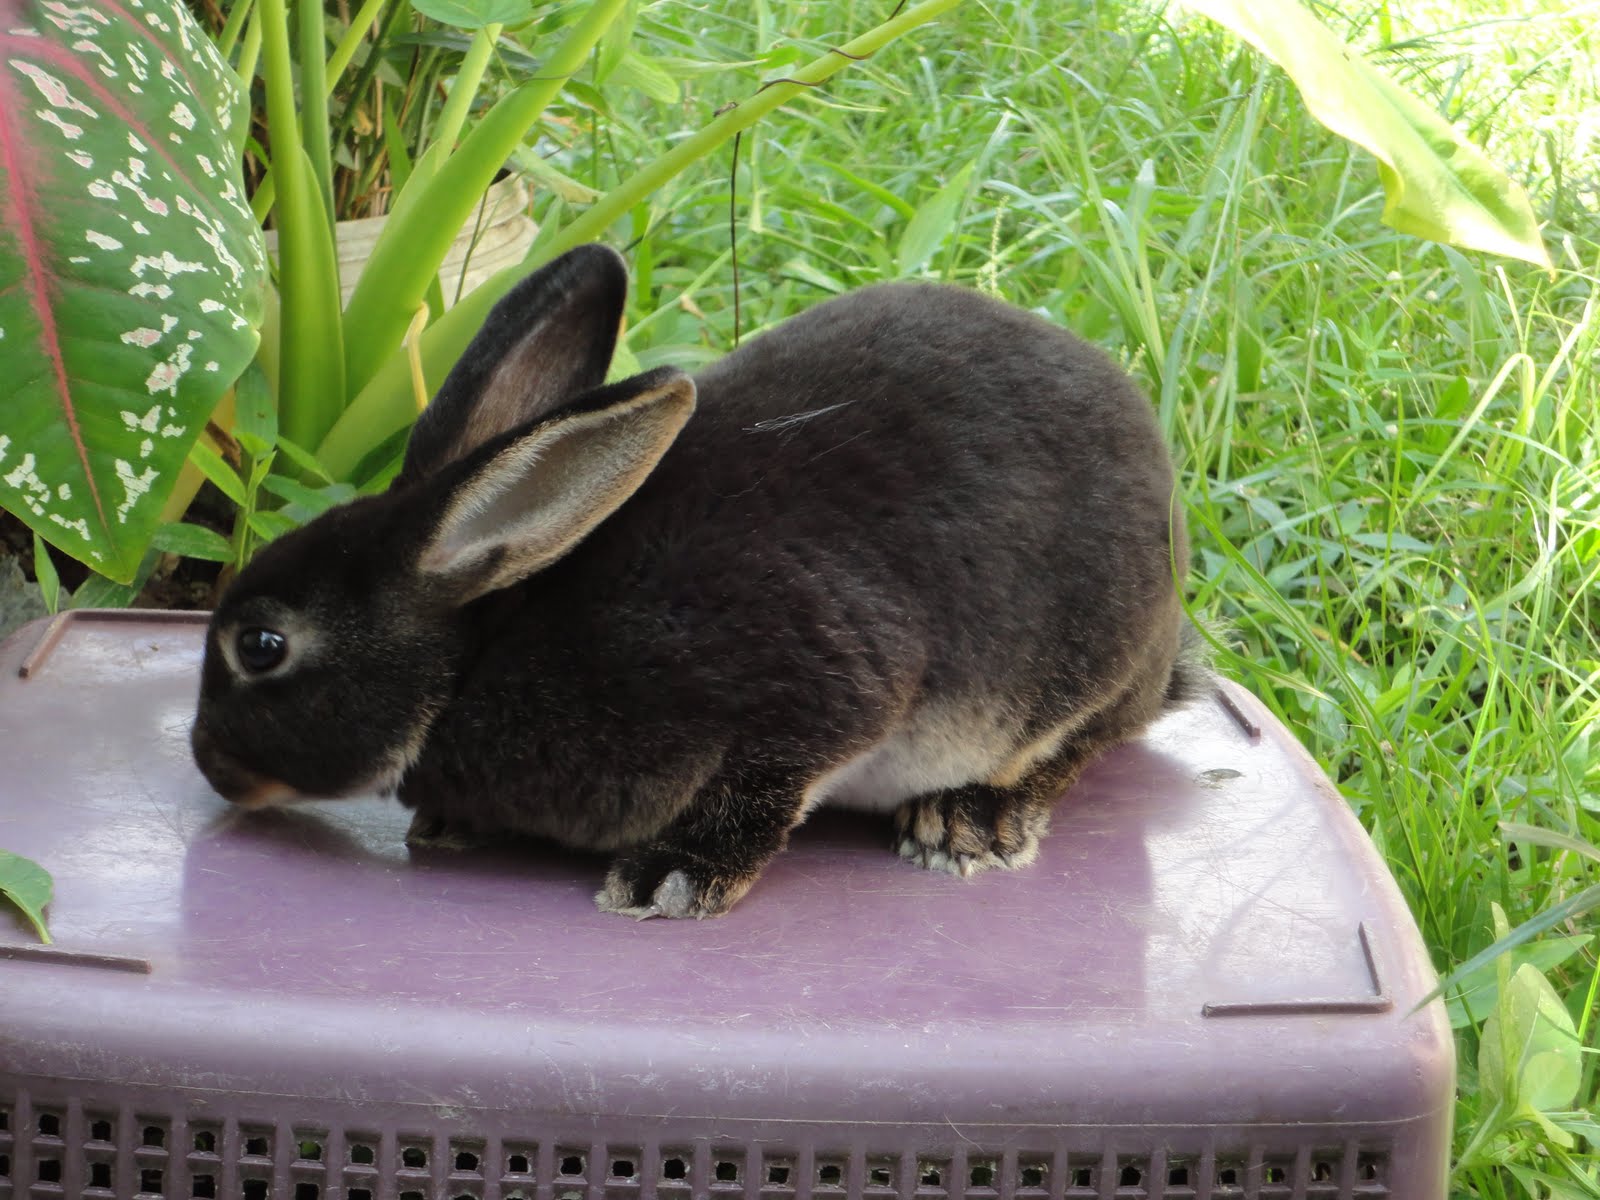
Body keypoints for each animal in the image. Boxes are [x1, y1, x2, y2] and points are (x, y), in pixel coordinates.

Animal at [191, 243, 1204, 919]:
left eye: (263, 646)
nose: (208, 762)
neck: (477, 657)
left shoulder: (817, 694)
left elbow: (762, 788)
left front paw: (669, 876)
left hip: (1080, 671)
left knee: (1082, 740)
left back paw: (969, 822)